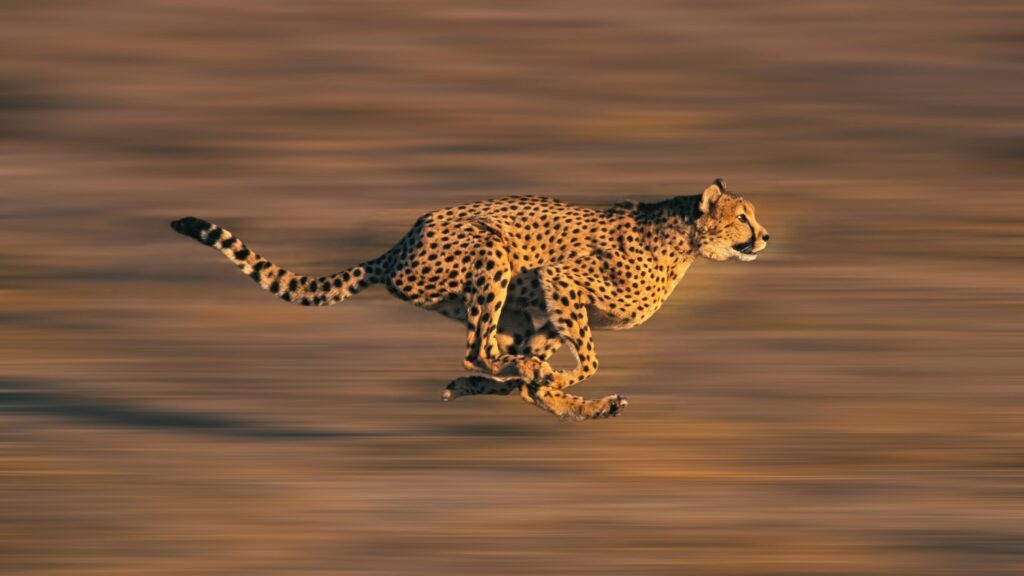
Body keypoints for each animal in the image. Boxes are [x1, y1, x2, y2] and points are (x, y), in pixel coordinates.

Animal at [171, 179, 769, 421]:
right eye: (742, 217)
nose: (765, 237)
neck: (685, 240)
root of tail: (401, 243)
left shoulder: (547, 305)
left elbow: (548, 375)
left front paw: (560, 390)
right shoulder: (560, 280)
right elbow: (589, 359)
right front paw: (559, 379)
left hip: (513, 303)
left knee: (494, 362)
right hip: (491, 252)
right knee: (479, 351)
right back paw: (520, 378)